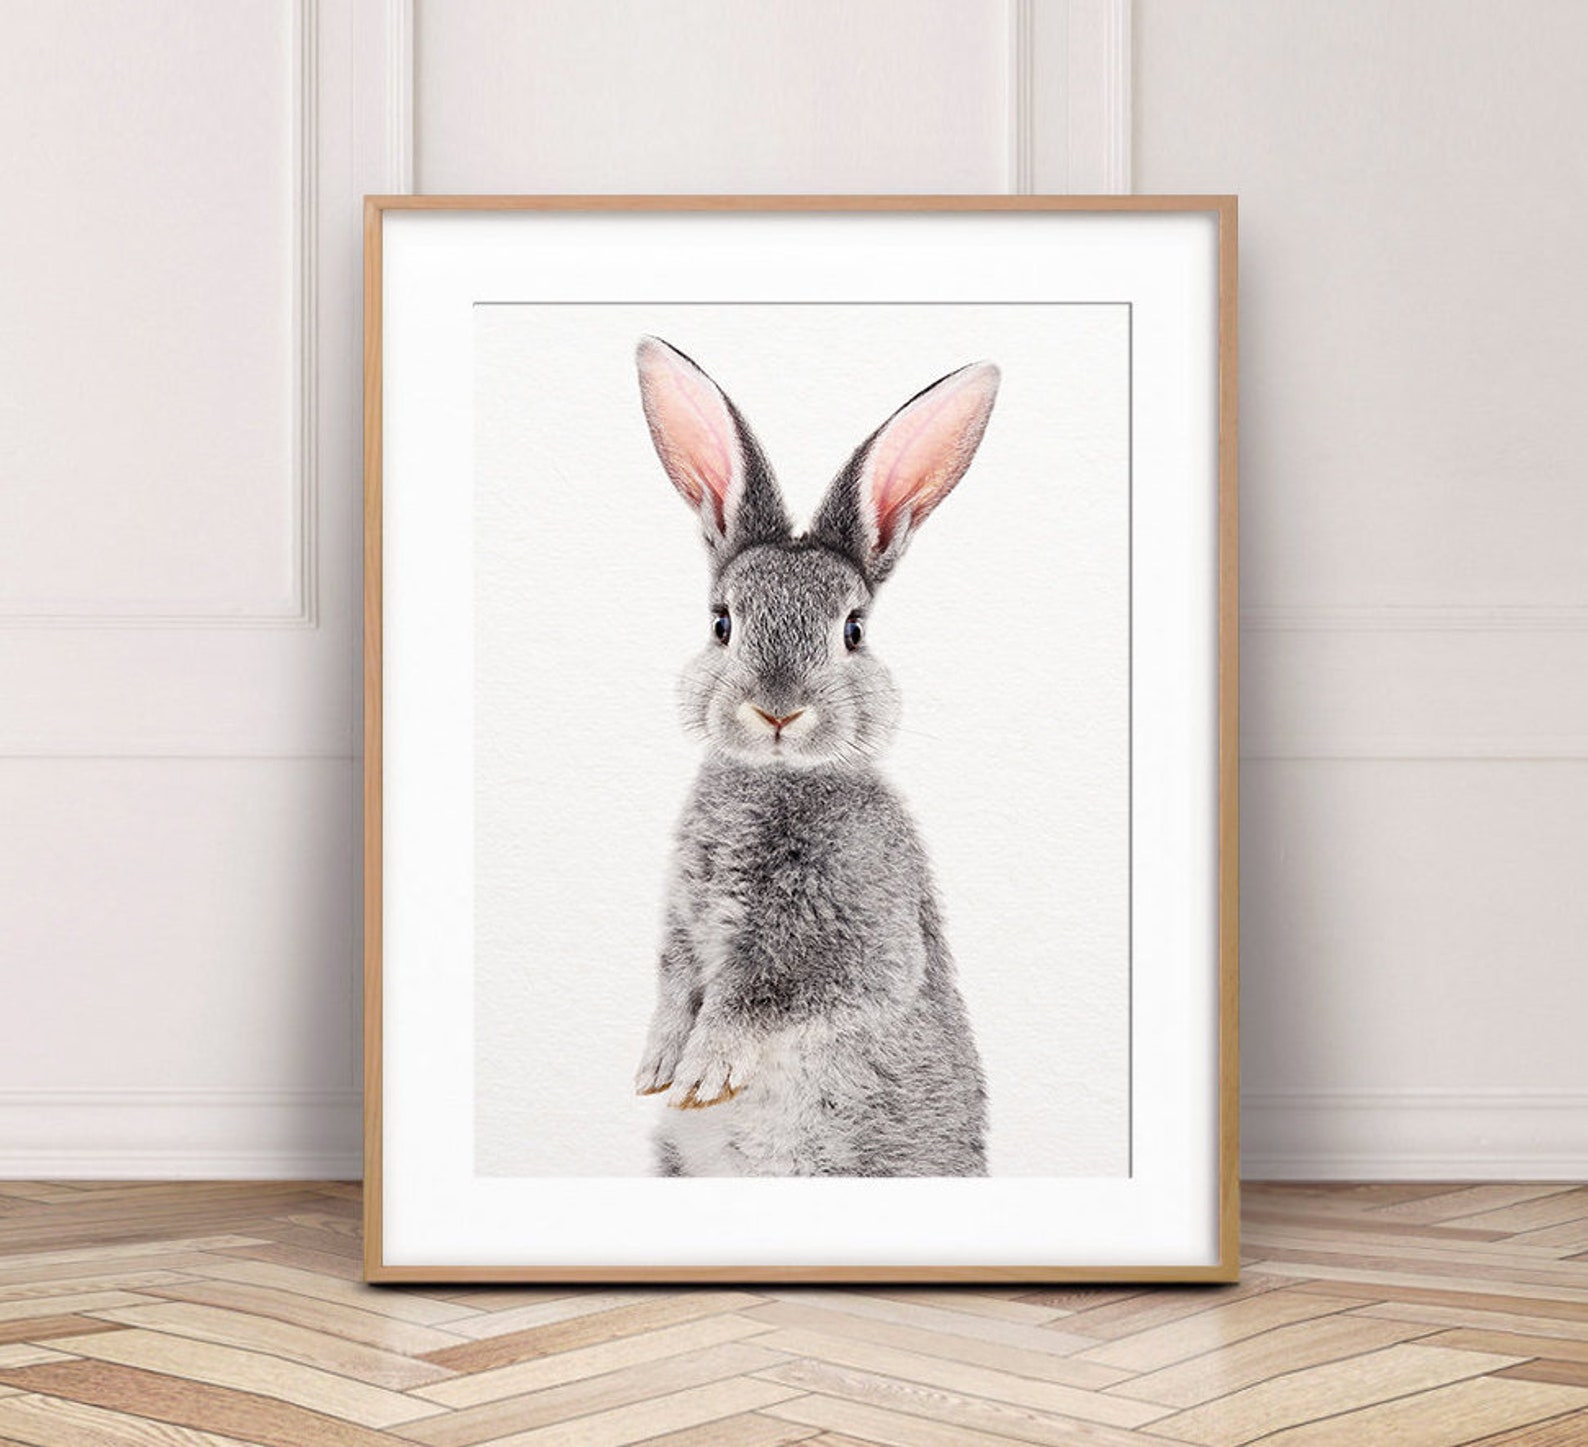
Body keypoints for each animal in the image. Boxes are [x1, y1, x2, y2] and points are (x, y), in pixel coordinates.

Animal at [631, 335, 998, 1177]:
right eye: (722, 623)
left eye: (854, 630)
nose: (776, 708)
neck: (772, 779)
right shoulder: (681, 923)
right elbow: (674, 981)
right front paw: (658, 1065)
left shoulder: (859, 944)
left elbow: (764, 995)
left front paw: (702, 1069)